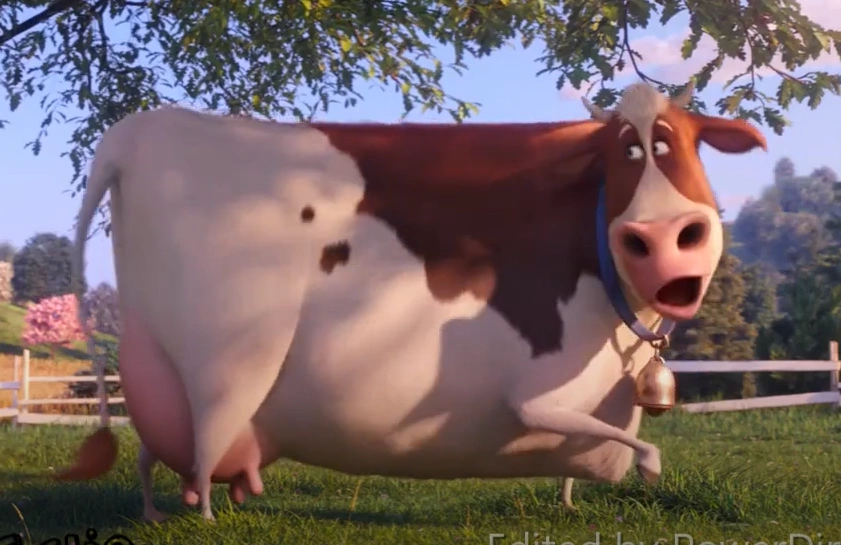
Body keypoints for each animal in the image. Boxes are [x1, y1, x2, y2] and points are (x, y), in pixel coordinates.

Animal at [58, 80, 765, 522]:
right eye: (626, 151)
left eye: (690, 146)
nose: (663, 236)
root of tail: (132, 135)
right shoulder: (533, 392)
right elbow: (623, 444)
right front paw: (647, 469)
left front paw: (570, 500)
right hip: (224, 359)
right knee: (201, 446)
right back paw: (202, 515)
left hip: (163, 360)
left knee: (152, 447)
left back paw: (168, 509)